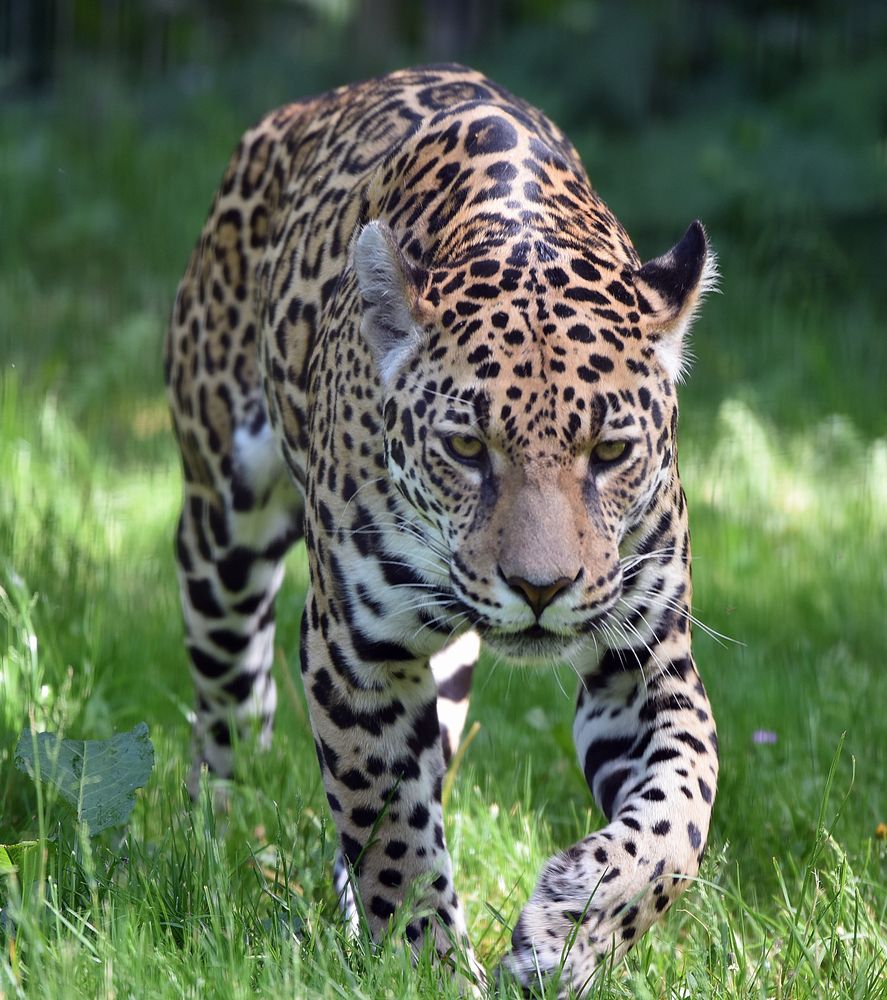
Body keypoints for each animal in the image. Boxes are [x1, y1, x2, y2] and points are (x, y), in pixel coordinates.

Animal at [164, 63, 719, 995]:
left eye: (609, 452)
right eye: (465, 447)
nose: (539, 589)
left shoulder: (643, 657)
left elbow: (681, 812)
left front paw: (571, 926)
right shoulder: (354, 655)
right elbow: (393, 836)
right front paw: (424, 966)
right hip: (221, 532)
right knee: (231, 716)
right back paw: (214, 834)